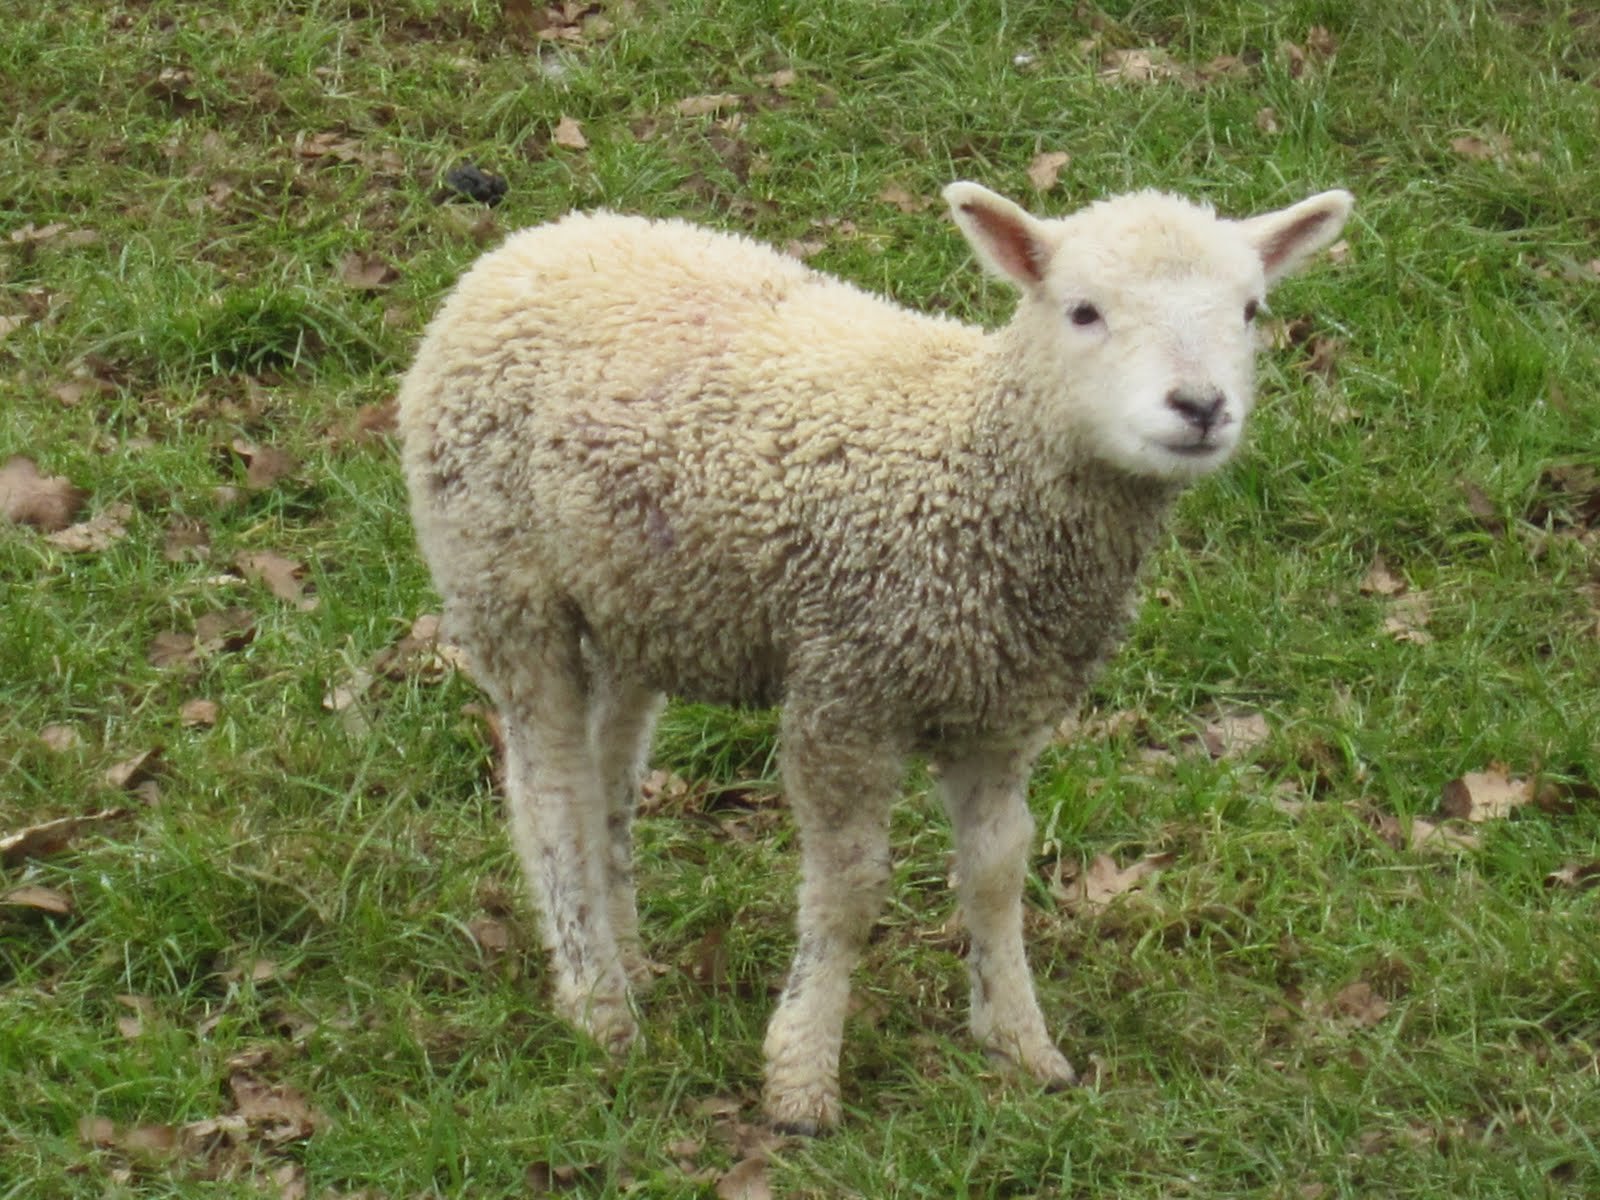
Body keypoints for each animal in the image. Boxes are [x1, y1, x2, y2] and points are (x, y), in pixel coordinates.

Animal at [395, 179, 1352, 1133]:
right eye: (1083, 311)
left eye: (1251, 311)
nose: (1200, 407)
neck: (973, 464)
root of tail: (534, 244)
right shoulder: (847, 690)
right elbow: (848, 892)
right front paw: (802, 1076)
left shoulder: (1005, 708)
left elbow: (998, 872)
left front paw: (1020, 1044)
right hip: (502, 577)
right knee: (550, 791)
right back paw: (598, 1003)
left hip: (636, 600)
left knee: (609, 775)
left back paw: (628, 961)